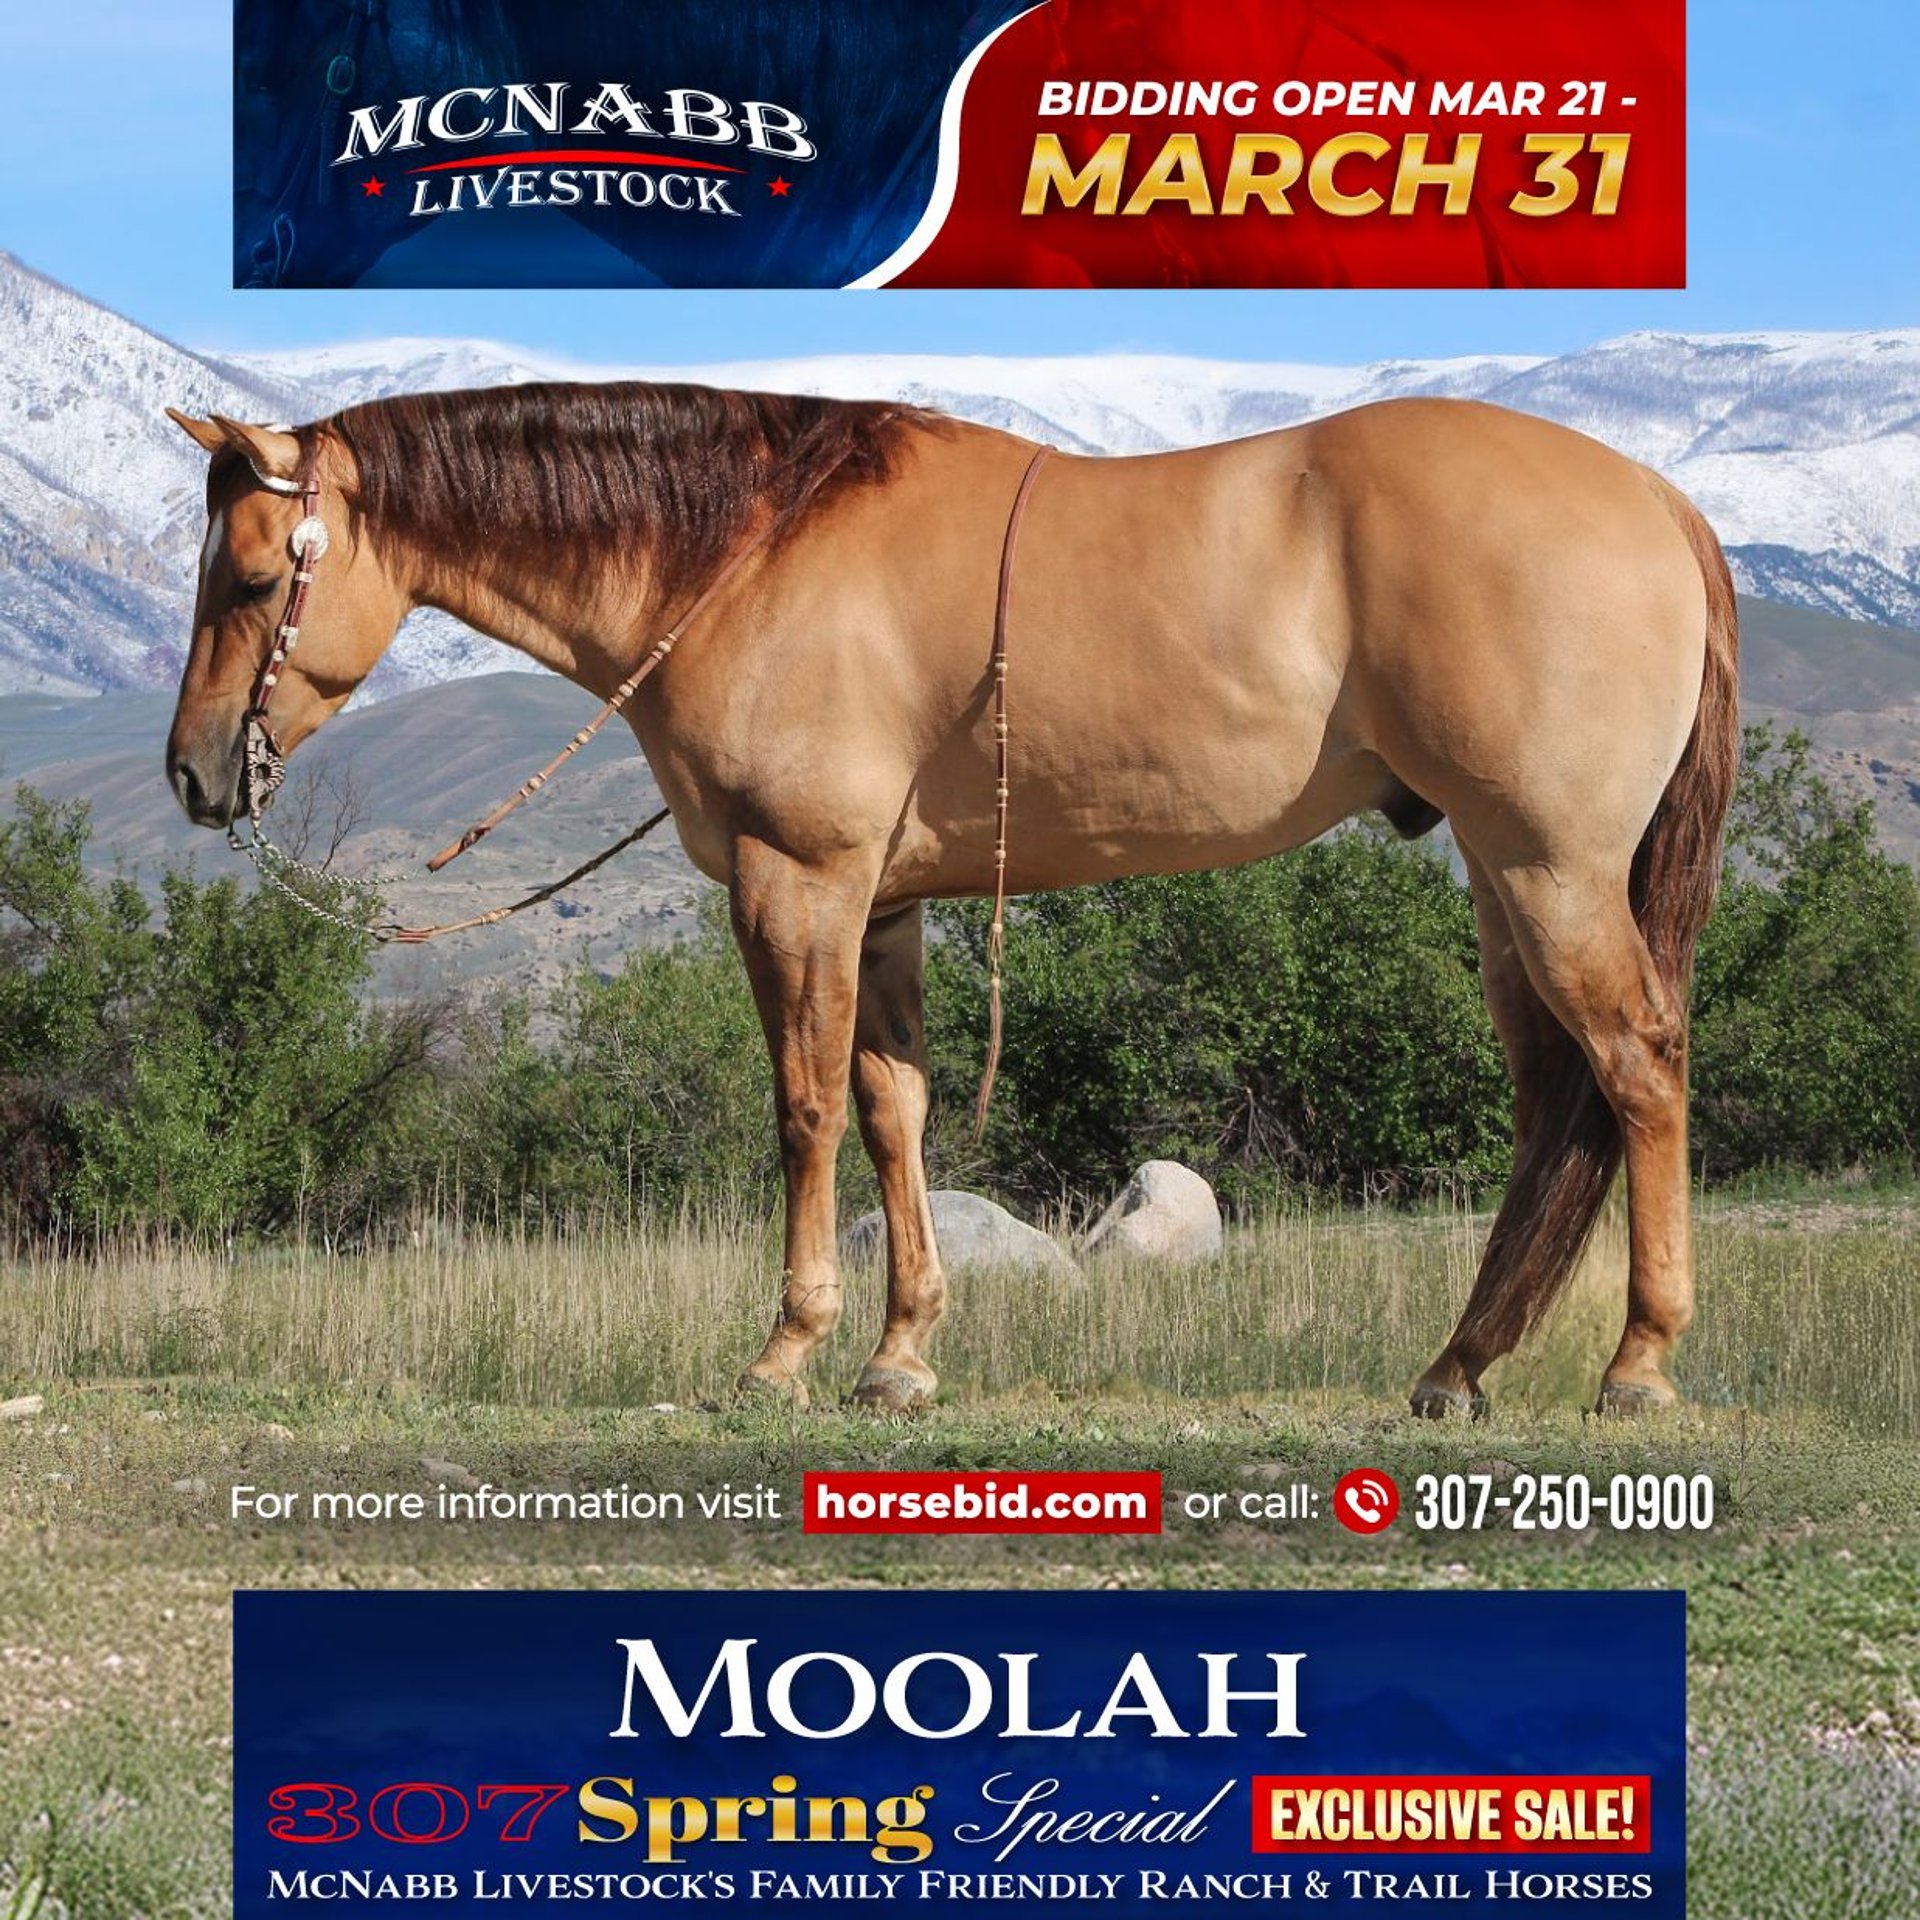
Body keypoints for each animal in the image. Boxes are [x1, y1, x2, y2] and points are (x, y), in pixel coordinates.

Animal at [162, 383, 1738, 1418]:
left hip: (1549, 869)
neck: (747, 548)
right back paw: (1459, 1368)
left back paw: (1642, 1364)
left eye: (246, 578)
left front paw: (787, 1351)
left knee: (1641, 1068)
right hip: (1505, 882)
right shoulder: (883, 904)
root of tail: (1662, 504)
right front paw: (900, 1355)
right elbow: (893, 1113)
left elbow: (805, 1110)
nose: (194, 772)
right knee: (1555, 1106)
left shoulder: (796, 882)